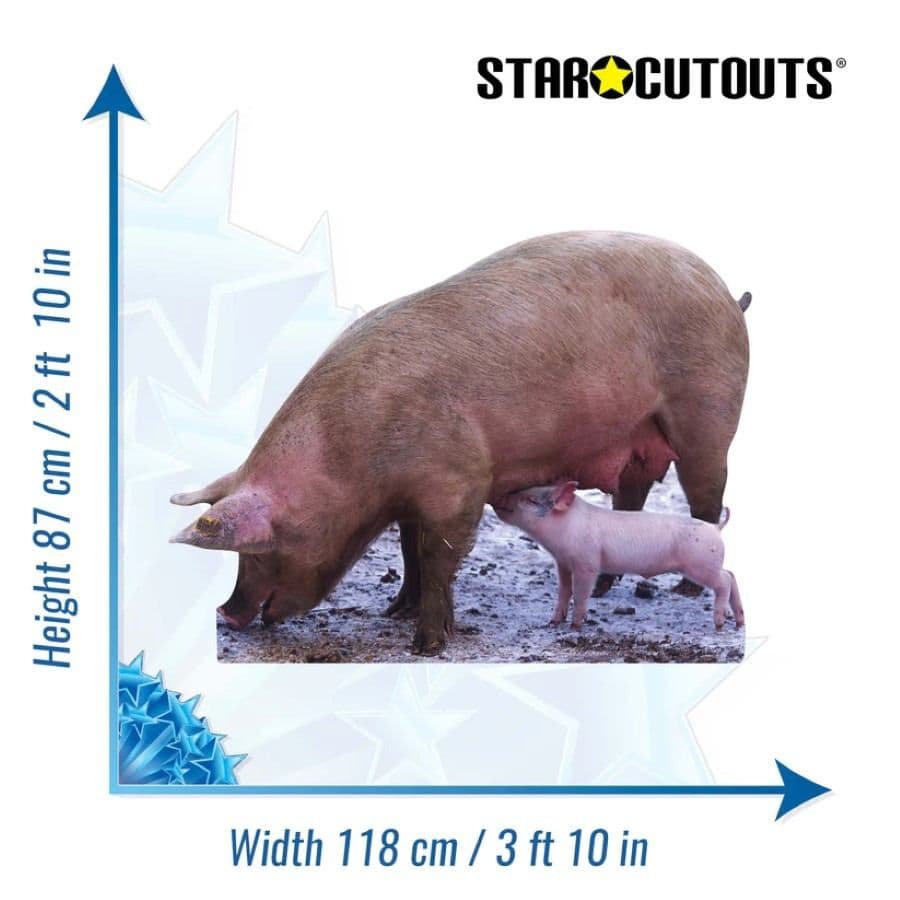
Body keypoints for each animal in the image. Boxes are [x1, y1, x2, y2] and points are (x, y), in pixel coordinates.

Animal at [493, 482, 744, 630]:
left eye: (531, 500)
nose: (499, 497)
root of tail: (716, 527)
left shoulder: (587, 563)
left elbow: (581, 593)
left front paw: (575, 626)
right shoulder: (562, 563)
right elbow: (564, 591)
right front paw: (554, 622)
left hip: (701, 564)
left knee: (724, 581)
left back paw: (719, 623)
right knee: (731, 575)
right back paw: (739, 621)